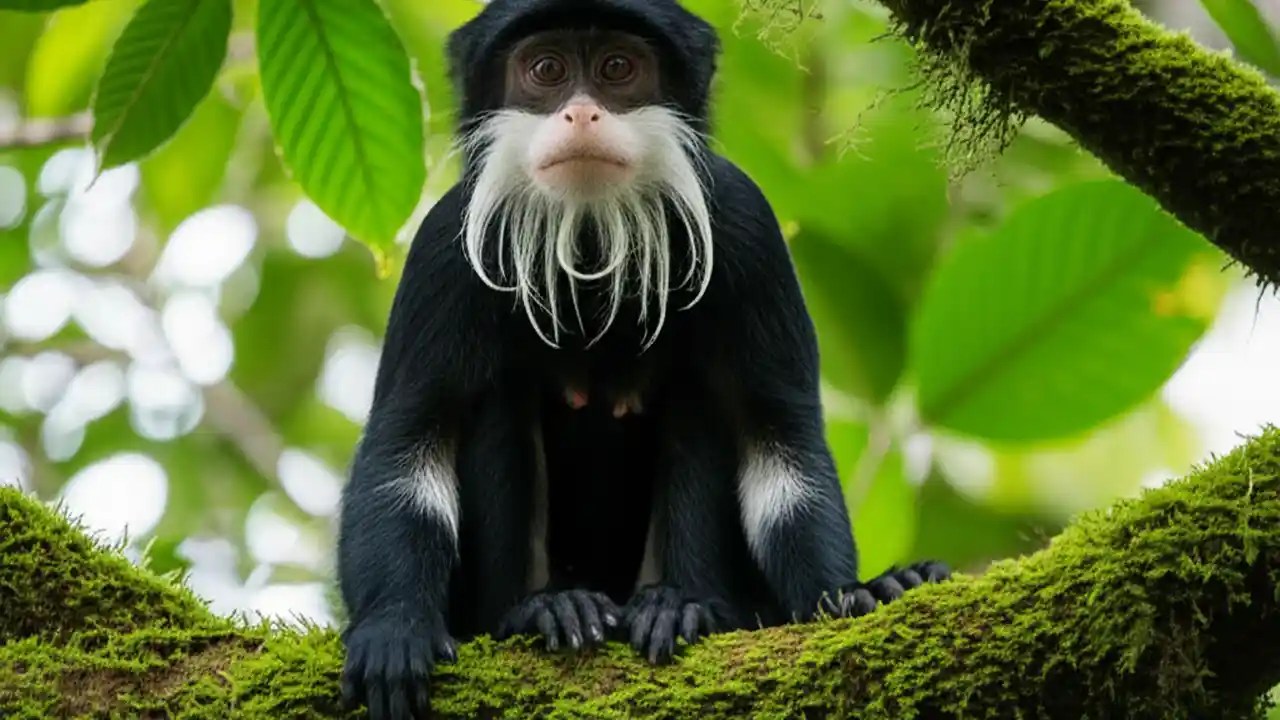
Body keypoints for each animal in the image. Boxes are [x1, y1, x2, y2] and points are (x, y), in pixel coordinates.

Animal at [336, 1, 951, 717]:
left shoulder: (746, 224)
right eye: (547, 70)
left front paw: (850, 595)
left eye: (617, 68)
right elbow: (410, 440)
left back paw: (683, 609)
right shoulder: (444, 247)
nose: (581, 113)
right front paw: (393, 627)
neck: (591, 233)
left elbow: (779, 441)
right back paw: (544, 612)